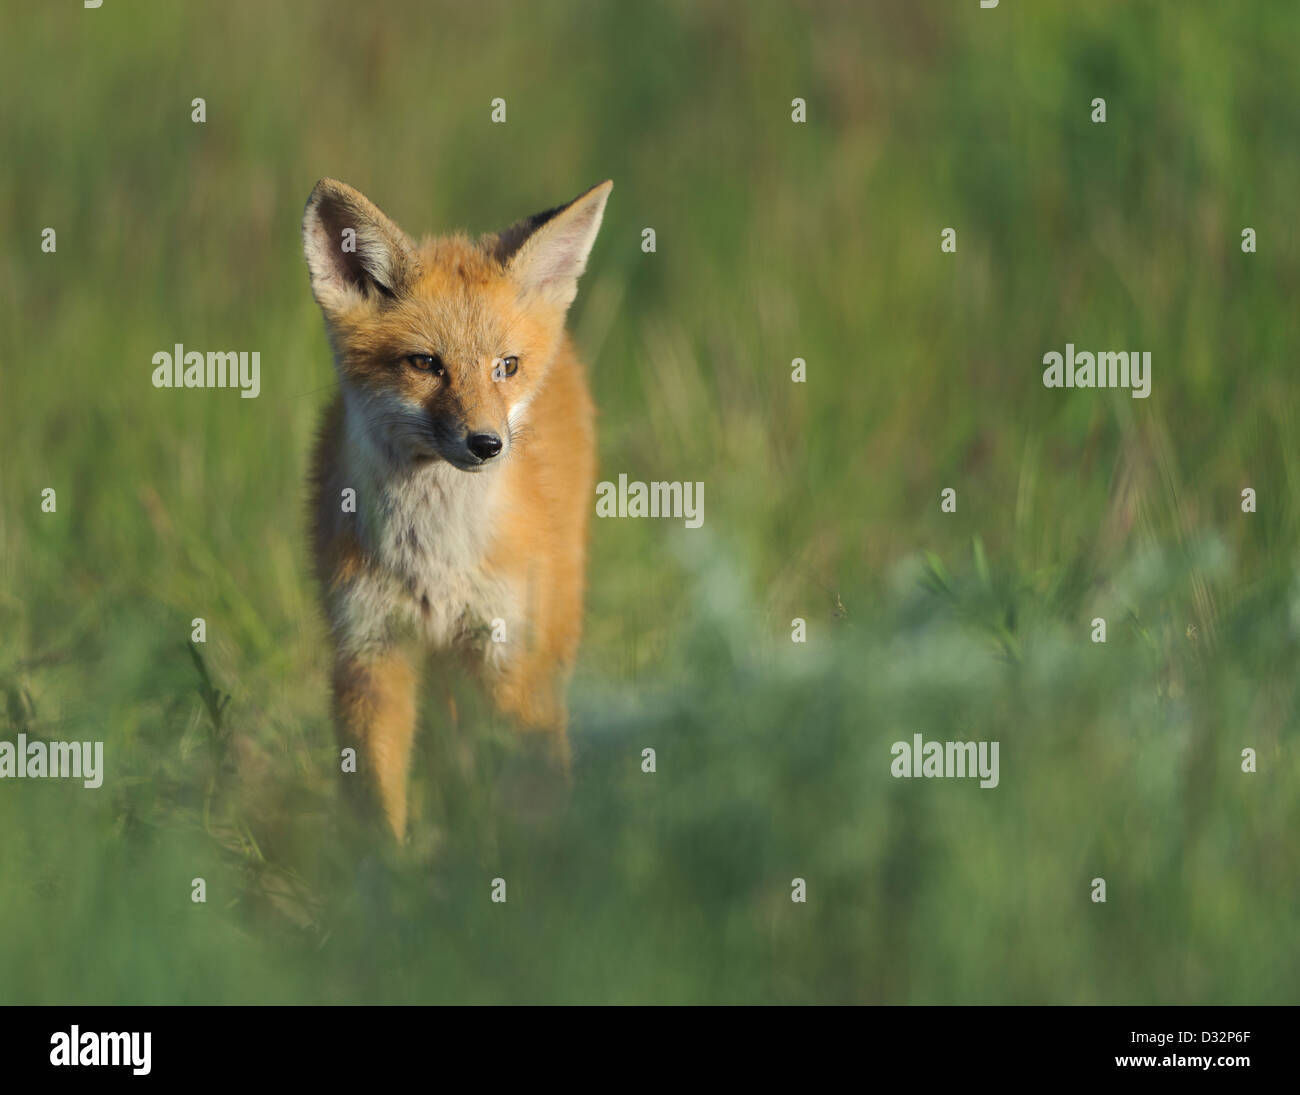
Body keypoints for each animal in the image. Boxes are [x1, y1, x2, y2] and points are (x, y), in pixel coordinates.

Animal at [301, 177, 611, 840]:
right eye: (425, 363)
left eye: (505, 367)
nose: (487, 444)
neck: (434, 560)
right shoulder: (369, 651)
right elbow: (377, 804)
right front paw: (389, 869)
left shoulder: (502, 652)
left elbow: (523, 781)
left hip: (542, 633)